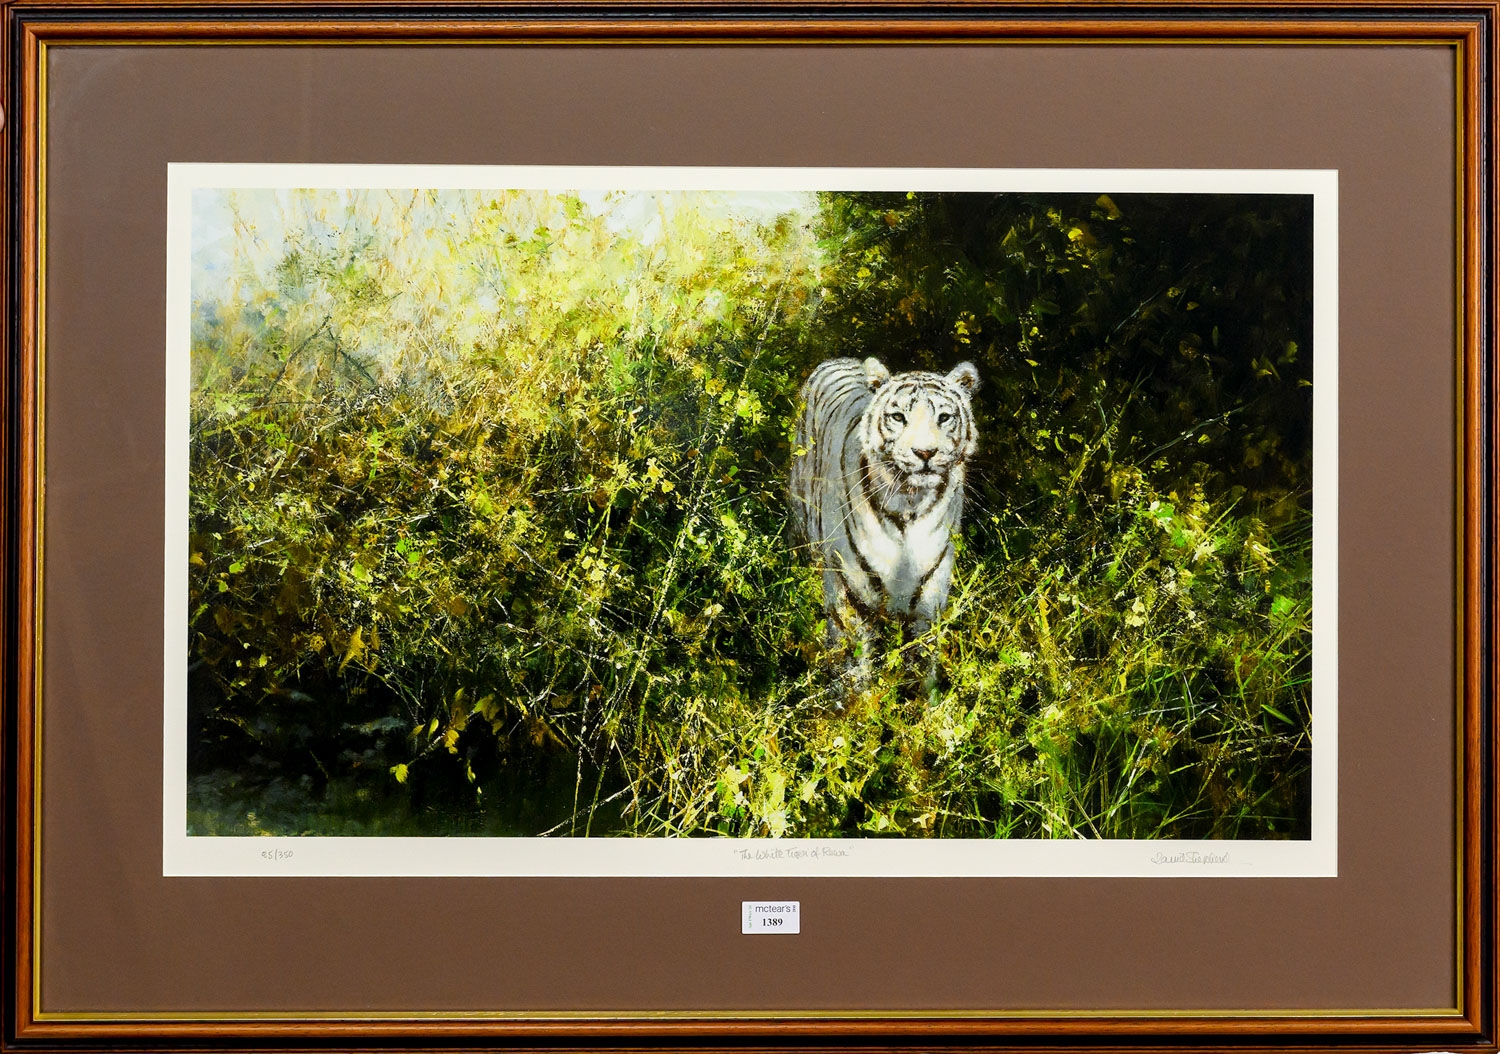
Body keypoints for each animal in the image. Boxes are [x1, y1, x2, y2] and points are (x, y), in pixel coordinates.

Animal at [789, 356, 980, 688]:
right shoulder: (849, 595)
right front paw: (856, 701)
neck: (909, 503)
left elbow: (922, 668)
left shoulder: (929, 600)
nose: (925, 452)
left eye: (944, 417)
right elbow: (853, 669)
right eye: (898, 417)